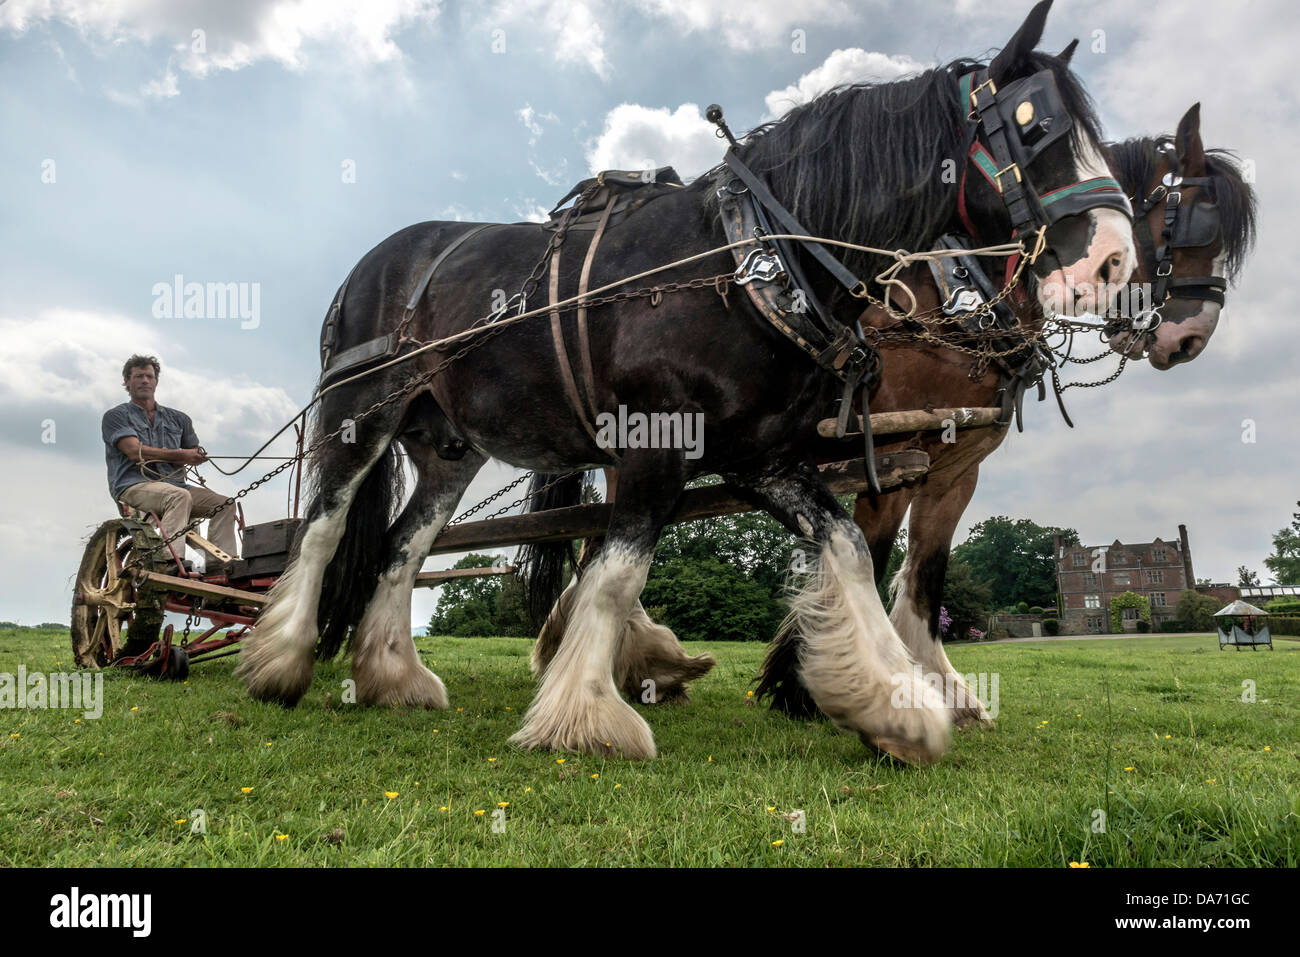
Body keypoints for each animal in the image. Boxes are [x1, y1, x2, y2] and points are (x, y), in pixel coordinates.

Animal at [235, 0, 1135, 764]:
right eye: (1035, 125)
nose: (1113, 261)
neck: (745, 262)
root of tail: (382, 257)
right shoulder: (652, 442)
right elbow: (617, 570)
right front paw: (588, 714)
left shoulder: (762, 456)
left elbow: (845, 547)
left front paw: (897, 706)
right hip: (359, 408)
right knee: (323, 523)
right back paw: (280, 661)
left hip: (451, 447)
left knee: (400, 546)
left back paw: (394, 677)